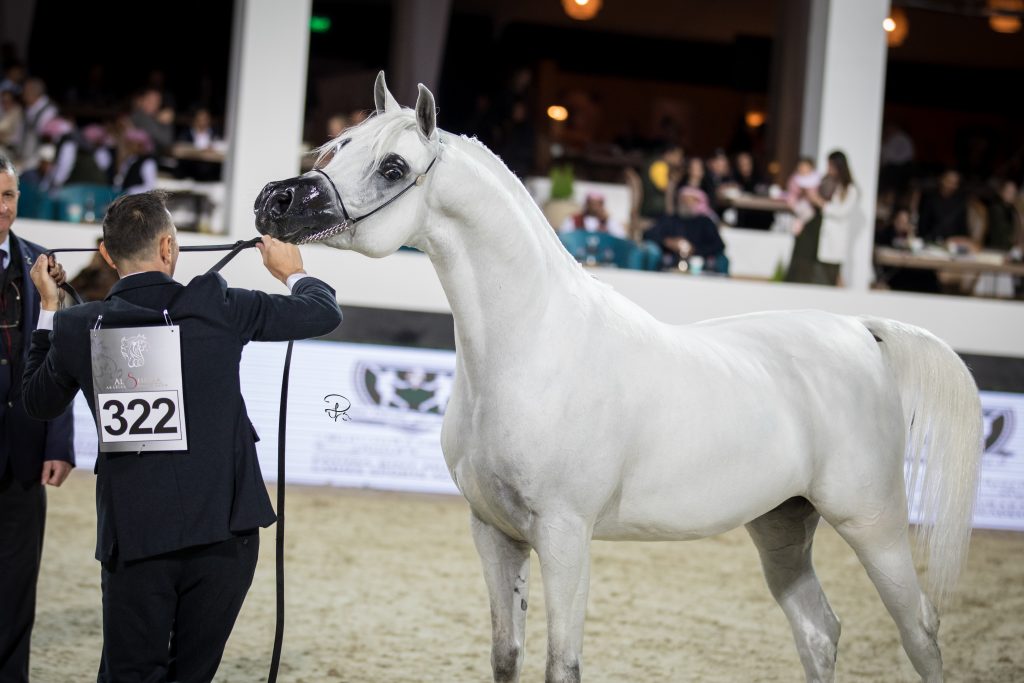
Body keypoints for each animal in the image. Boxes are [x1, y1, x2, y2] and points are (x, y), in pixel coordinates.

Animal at [254, 73, 982, 683]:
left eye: (393, 166)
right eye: (333, 148)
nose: (275, 201)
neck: (535, 344)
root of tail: (860, 329)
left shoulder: (564, 535)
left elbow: (562, 664)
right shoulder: (494, 534)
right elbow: (506, 656)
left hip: (872, 520)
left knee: (919, 629)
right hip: (781, 524)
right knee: (819, 630)